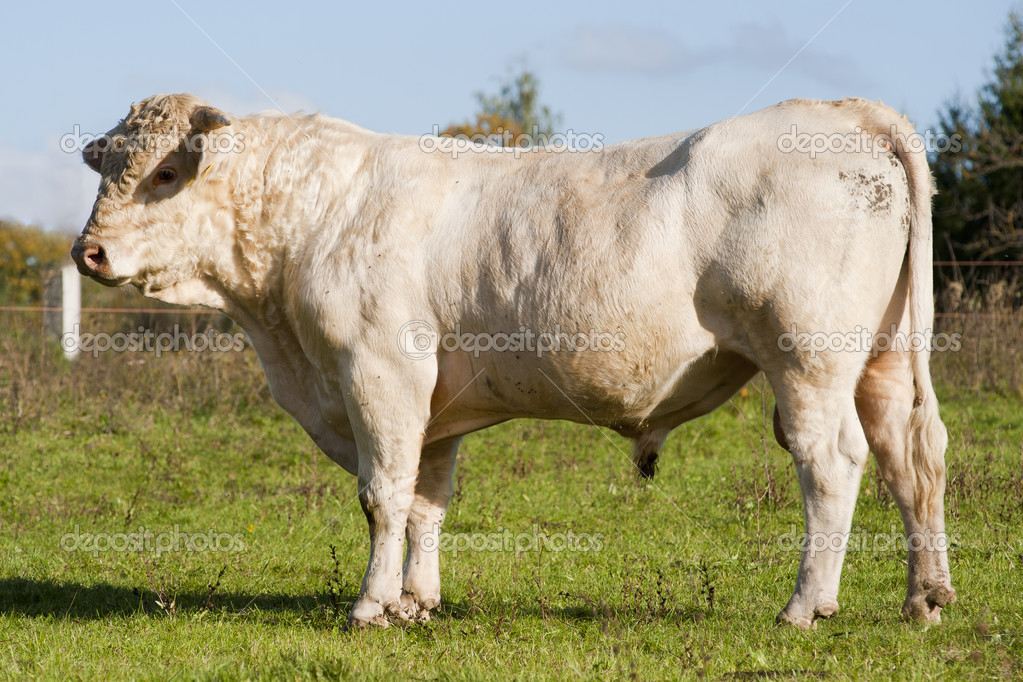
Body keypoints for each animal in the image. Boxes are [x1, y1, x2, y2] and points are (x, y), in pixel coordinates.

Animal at [71, 93, 955, 630]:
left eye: (165, 171)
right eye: (108, 165)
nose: (89, 252)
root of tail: (841, 111)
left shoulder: (378, 371)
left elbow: (381, 496)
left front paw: (369, 607)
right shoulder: (433, 401)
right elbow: (425, 502)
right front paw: (416, 603)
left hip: (807, 357)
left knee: (831, 463)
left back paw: (804, 606)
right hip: (883, 359)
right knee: (911, 458)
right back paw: (923, 598)